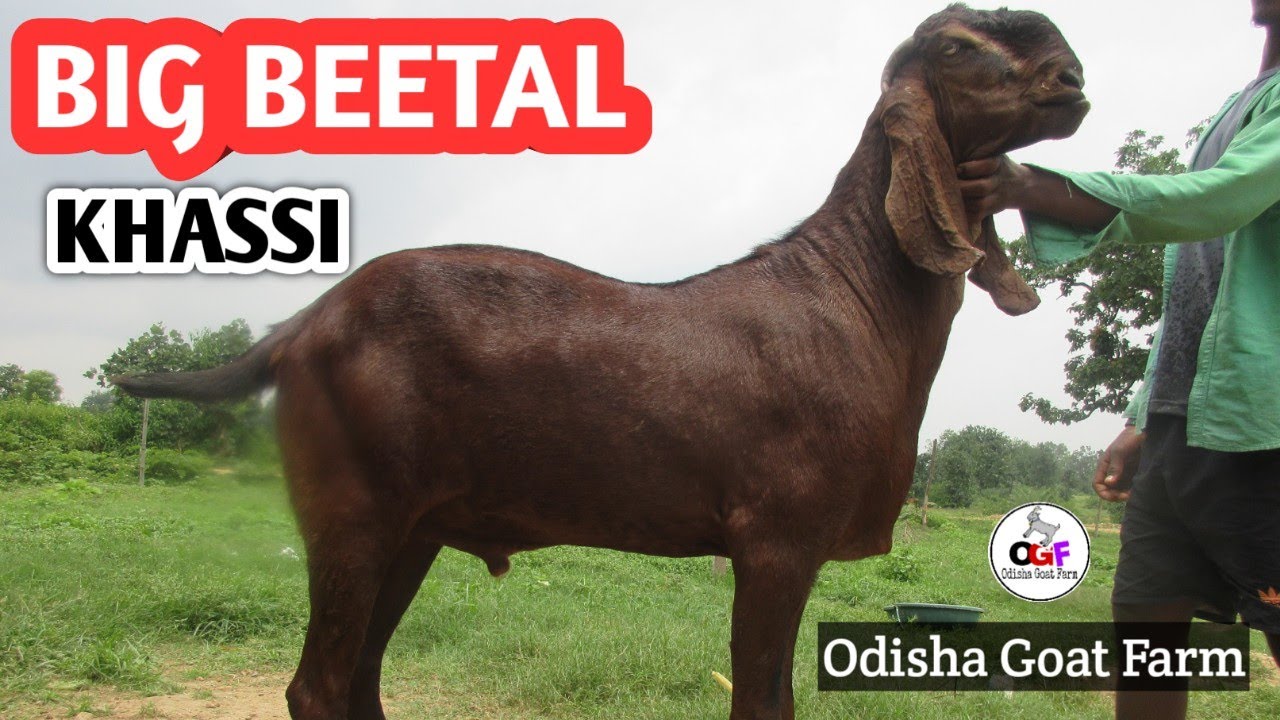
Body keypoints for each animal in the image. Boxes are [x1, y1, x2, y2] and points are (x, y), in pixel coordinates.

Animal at [113, 5, 1088, 719]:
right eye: (959, 46)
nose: (1071, 76)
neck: (850, 297)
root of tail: (303, 323)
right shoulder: (776, 540)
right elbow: (762, 701)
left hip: (413, 527)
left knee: (358, 680)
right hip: (353, 508)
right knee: (317, 686)